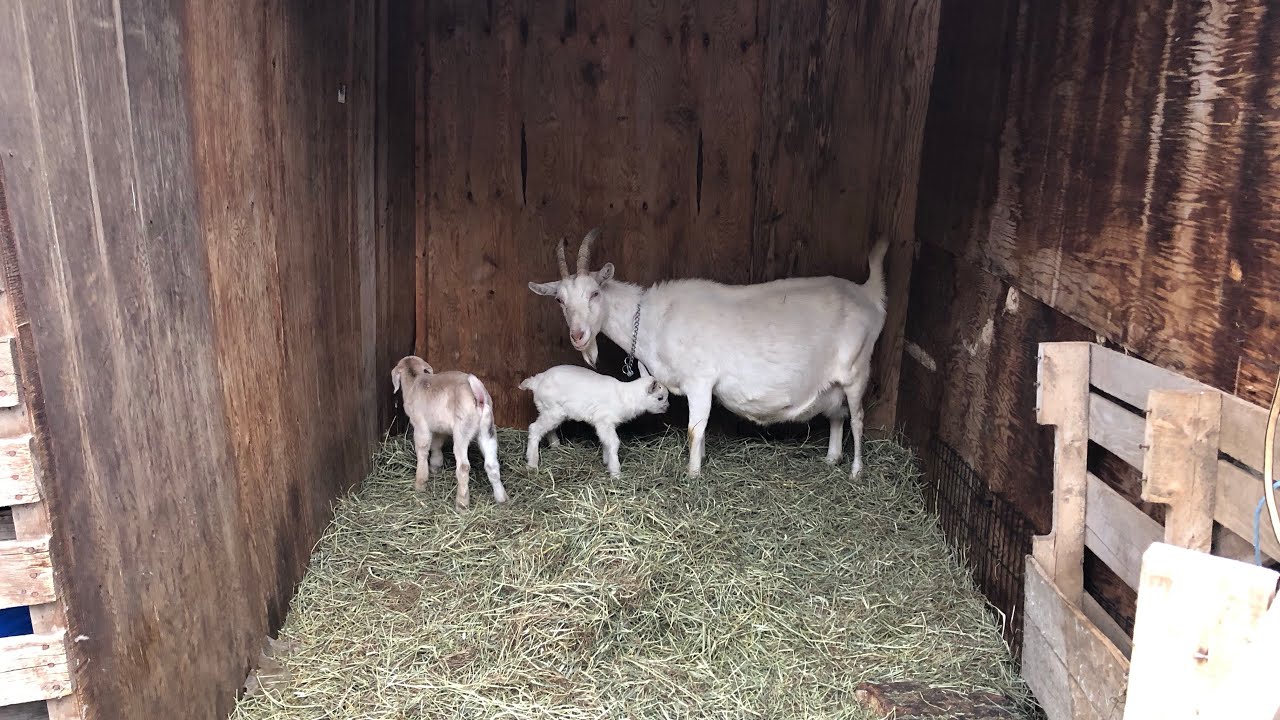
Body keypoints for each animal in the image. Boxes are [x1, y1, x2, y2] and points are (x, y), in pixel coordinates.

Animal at [392, 356, 508, 510]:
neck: (415, 381)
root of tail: (479, 397)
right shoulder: (438, 426)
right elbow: (436, 444)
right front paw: (436, 465)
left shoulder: (421, 426)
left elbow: (422, 451)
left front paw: (420, 483)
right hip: (487, 431)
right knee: (492, 465)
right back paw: (502, 499)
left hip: (462, 431)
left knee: (464, 467)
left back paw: (462, 504)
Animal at [520, 365, 670, 477]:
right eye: (660, 398)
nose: (667, 407)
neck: (625, 396)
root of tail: (536, 381)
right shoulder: (604, 420)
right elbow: (613, 443)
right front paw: (615, 472)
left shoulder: (605, 425)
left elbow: (605, 442)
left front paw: (606, 461)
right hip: (553, 410)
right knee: (534, 428)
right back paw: (532, 464)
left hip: (548, 410)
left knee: (547, 429)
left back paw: (556, 445)